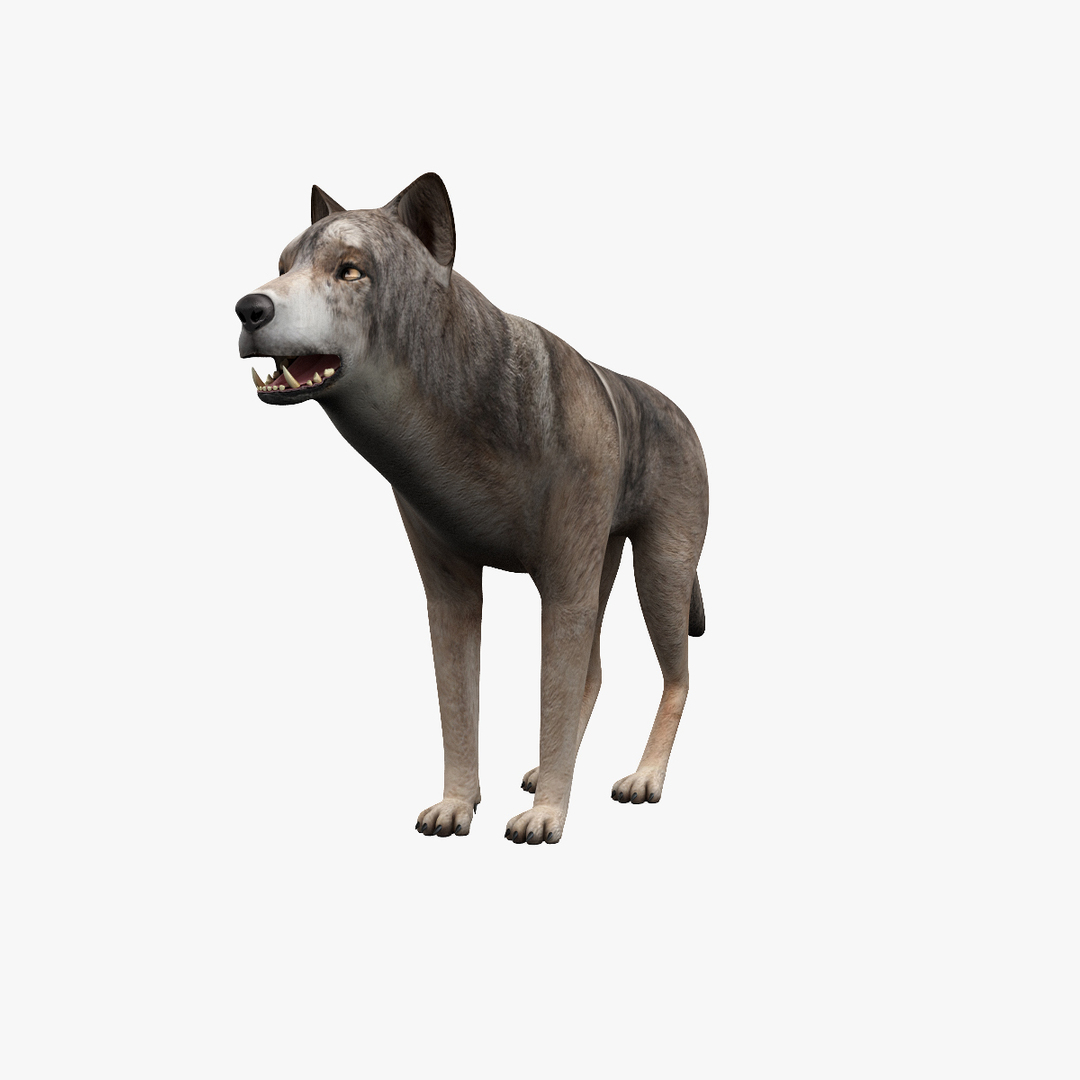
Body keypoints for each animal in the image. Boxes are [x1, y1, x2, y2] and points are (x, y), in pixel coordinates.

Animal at [235, 174, 708, 844]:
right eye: (283, 267)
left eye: (350, 270)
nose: (248, 308)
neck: (462, 414)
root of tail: (681, 412)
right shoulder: (452, 589)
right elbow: (460, 707)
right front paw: (459, 805)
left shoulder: (562, 588)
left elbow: (552, 694)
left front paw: (547, 817)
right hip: (608, 566)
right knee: (596, 674)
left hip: (659, 573)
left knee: (678, 676)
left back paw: (643, 778)